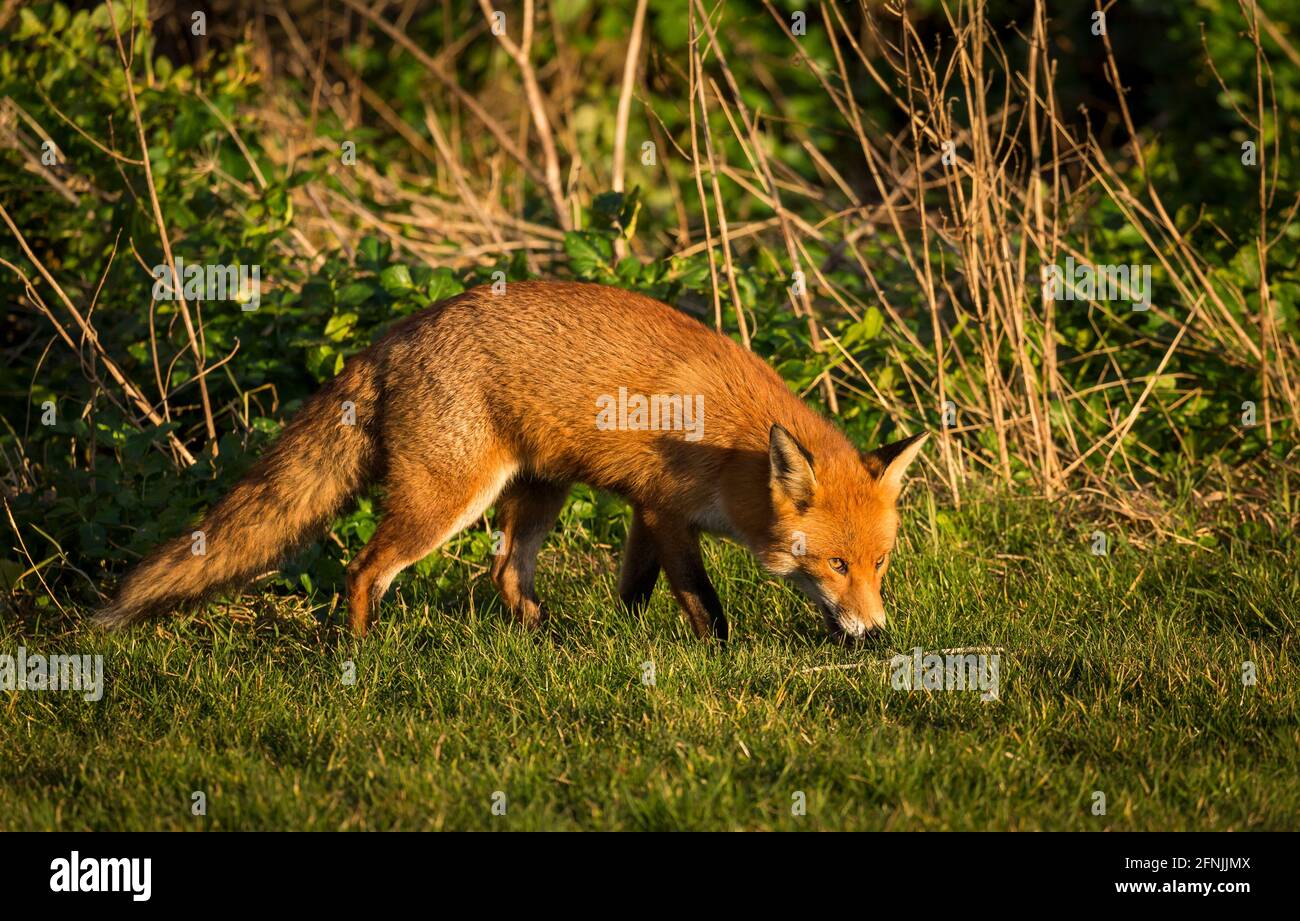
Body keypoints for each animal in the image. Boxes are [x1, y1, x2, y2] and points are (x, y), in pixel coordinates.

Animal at [97, 280, 928, 641]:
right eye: (834, 565)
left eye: (881, 563)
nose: (878, 635)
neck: (728, 444)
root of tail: (393, 334)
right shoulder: (666, 510)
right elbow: (702, 601)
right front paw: (719, 653)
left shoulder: (644, 509)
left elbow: (635, 589)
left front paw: (622, 642)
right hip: (447, 500)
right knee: (364, 570)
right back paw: (361, 654)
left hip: (538, 491)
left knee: (503, 572)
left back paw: (542, 637)